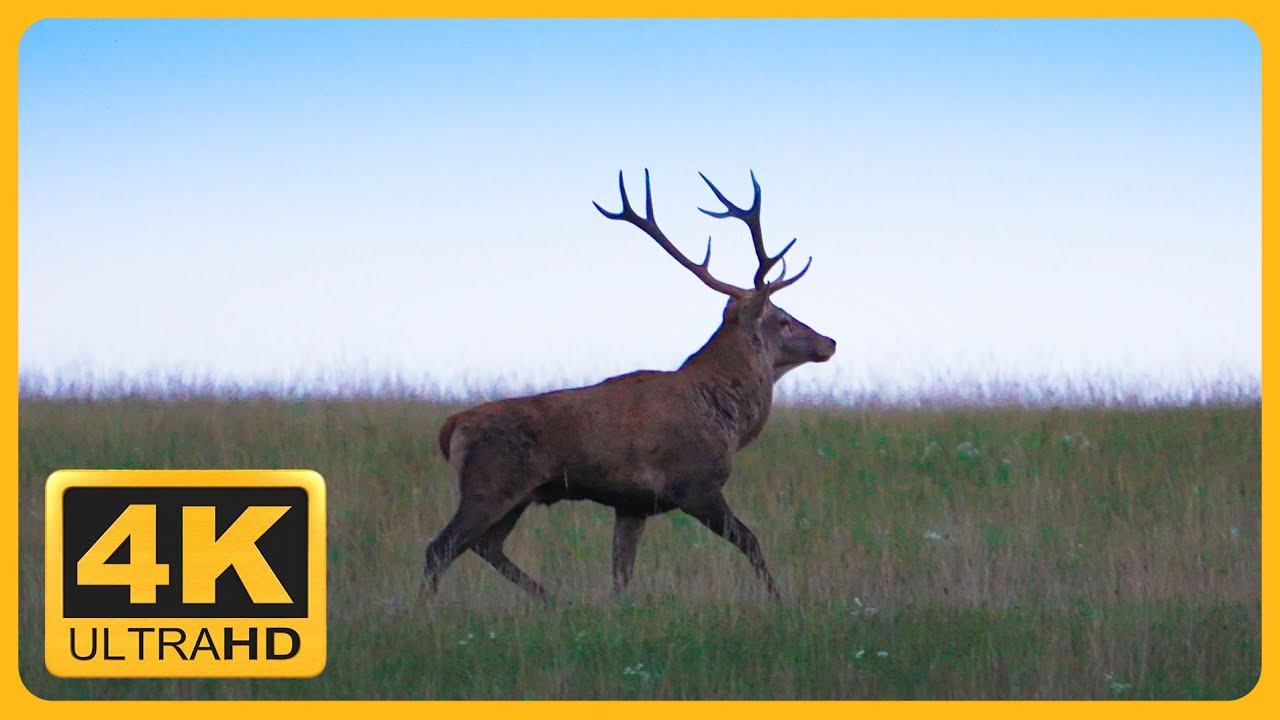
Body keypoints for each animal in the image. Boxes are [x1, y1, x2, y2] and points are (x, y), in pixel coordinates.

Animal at [421, 169, 836, 602]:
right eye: (784, 319)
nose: (830, 341)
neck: (729, 419)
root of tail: (451, 425)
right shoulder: (696, 484)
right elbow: (750, 540)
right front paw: (779, 599)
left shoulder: (632, 503)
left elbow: (621, 575)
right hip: (491, 482)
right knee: (441, 548)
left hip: (520, 493)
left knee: (486, 545)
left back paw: (551, 599)